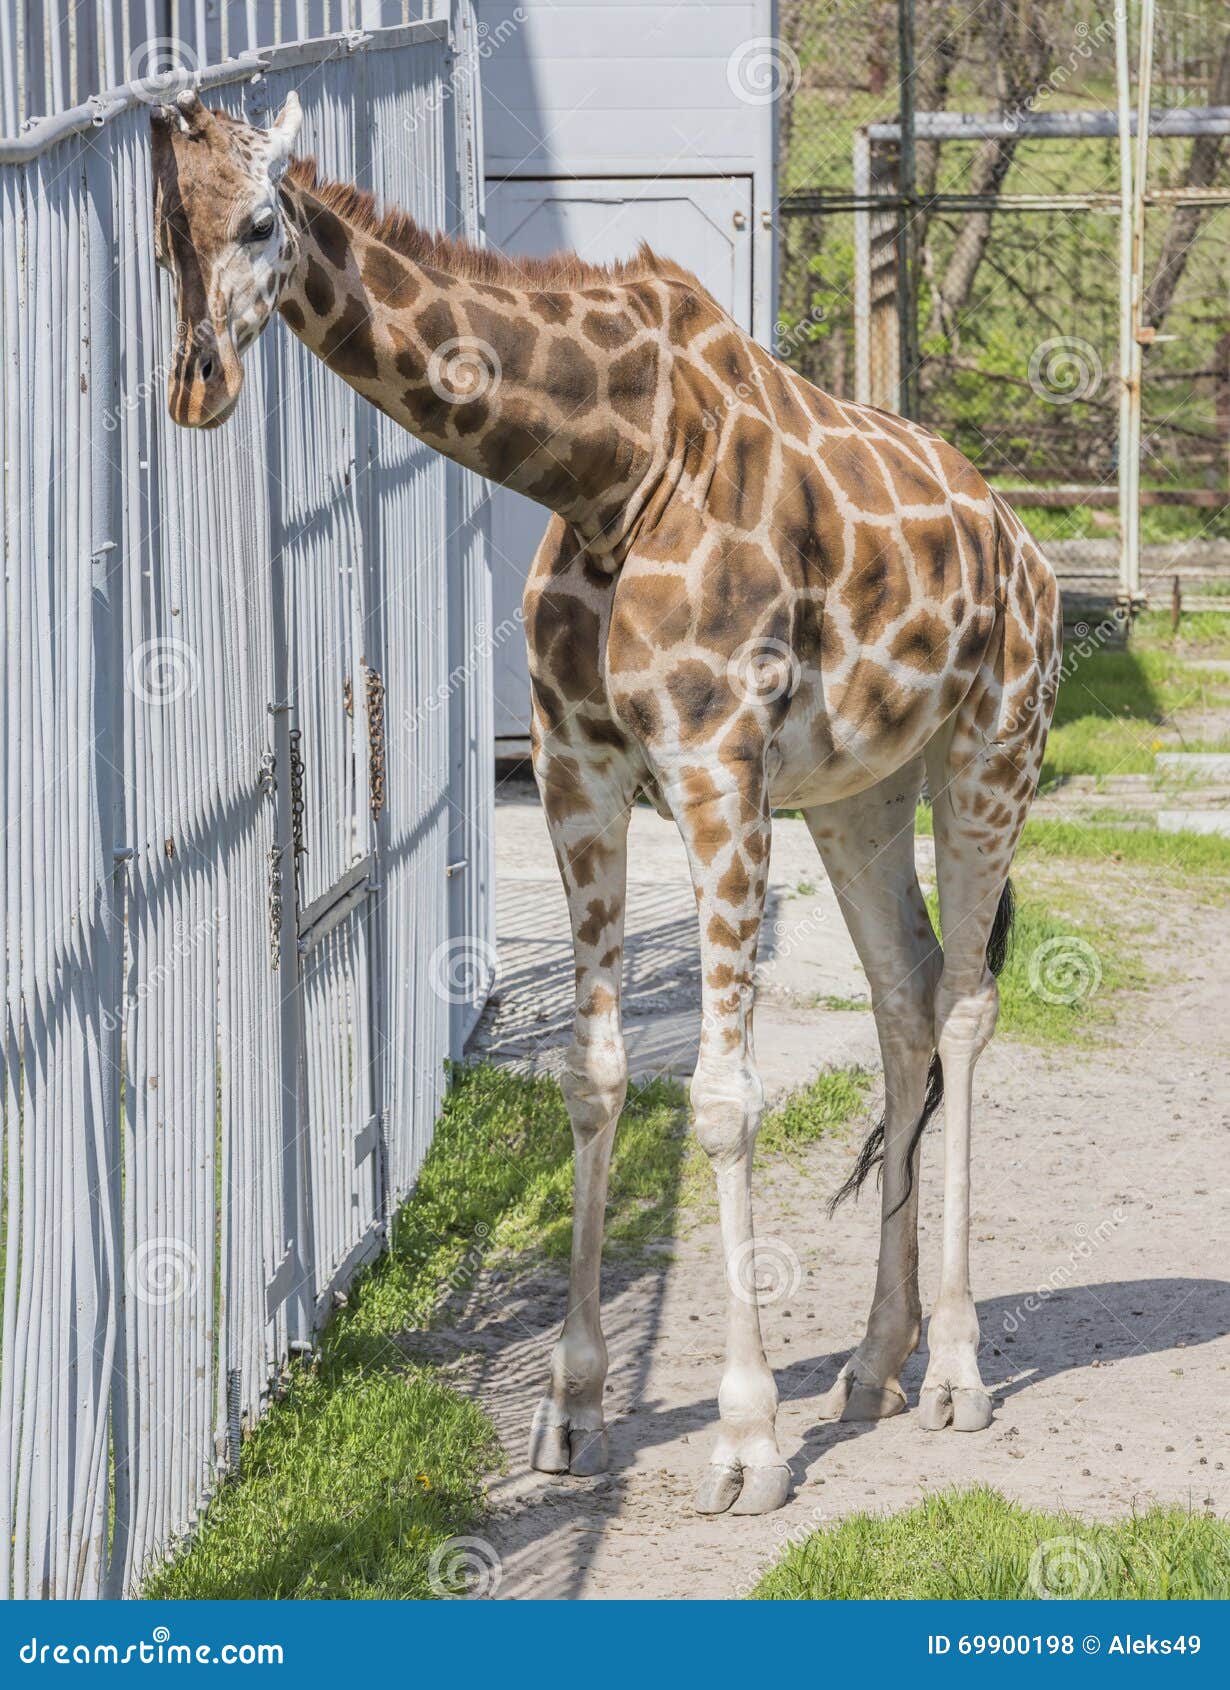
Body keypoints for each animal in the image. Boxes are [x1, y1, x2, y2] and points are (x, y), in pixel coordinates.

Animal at [152, 89, 1062, 1517]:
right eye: (156, 230)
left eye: (255, 220)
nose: (198, 386)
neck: (608, 467)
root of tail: (1023, 543)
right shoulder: (579, 766)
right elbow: (594, 1075)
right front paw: (573, 1412)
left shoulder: (716, 764)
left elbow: (725, 1095)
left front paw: (745, 1442)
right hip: (862, 793)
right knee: (905, 996)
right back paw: (873, 1366)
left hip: (993, 748)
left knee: (966, 1002)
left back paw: (960, 1371)